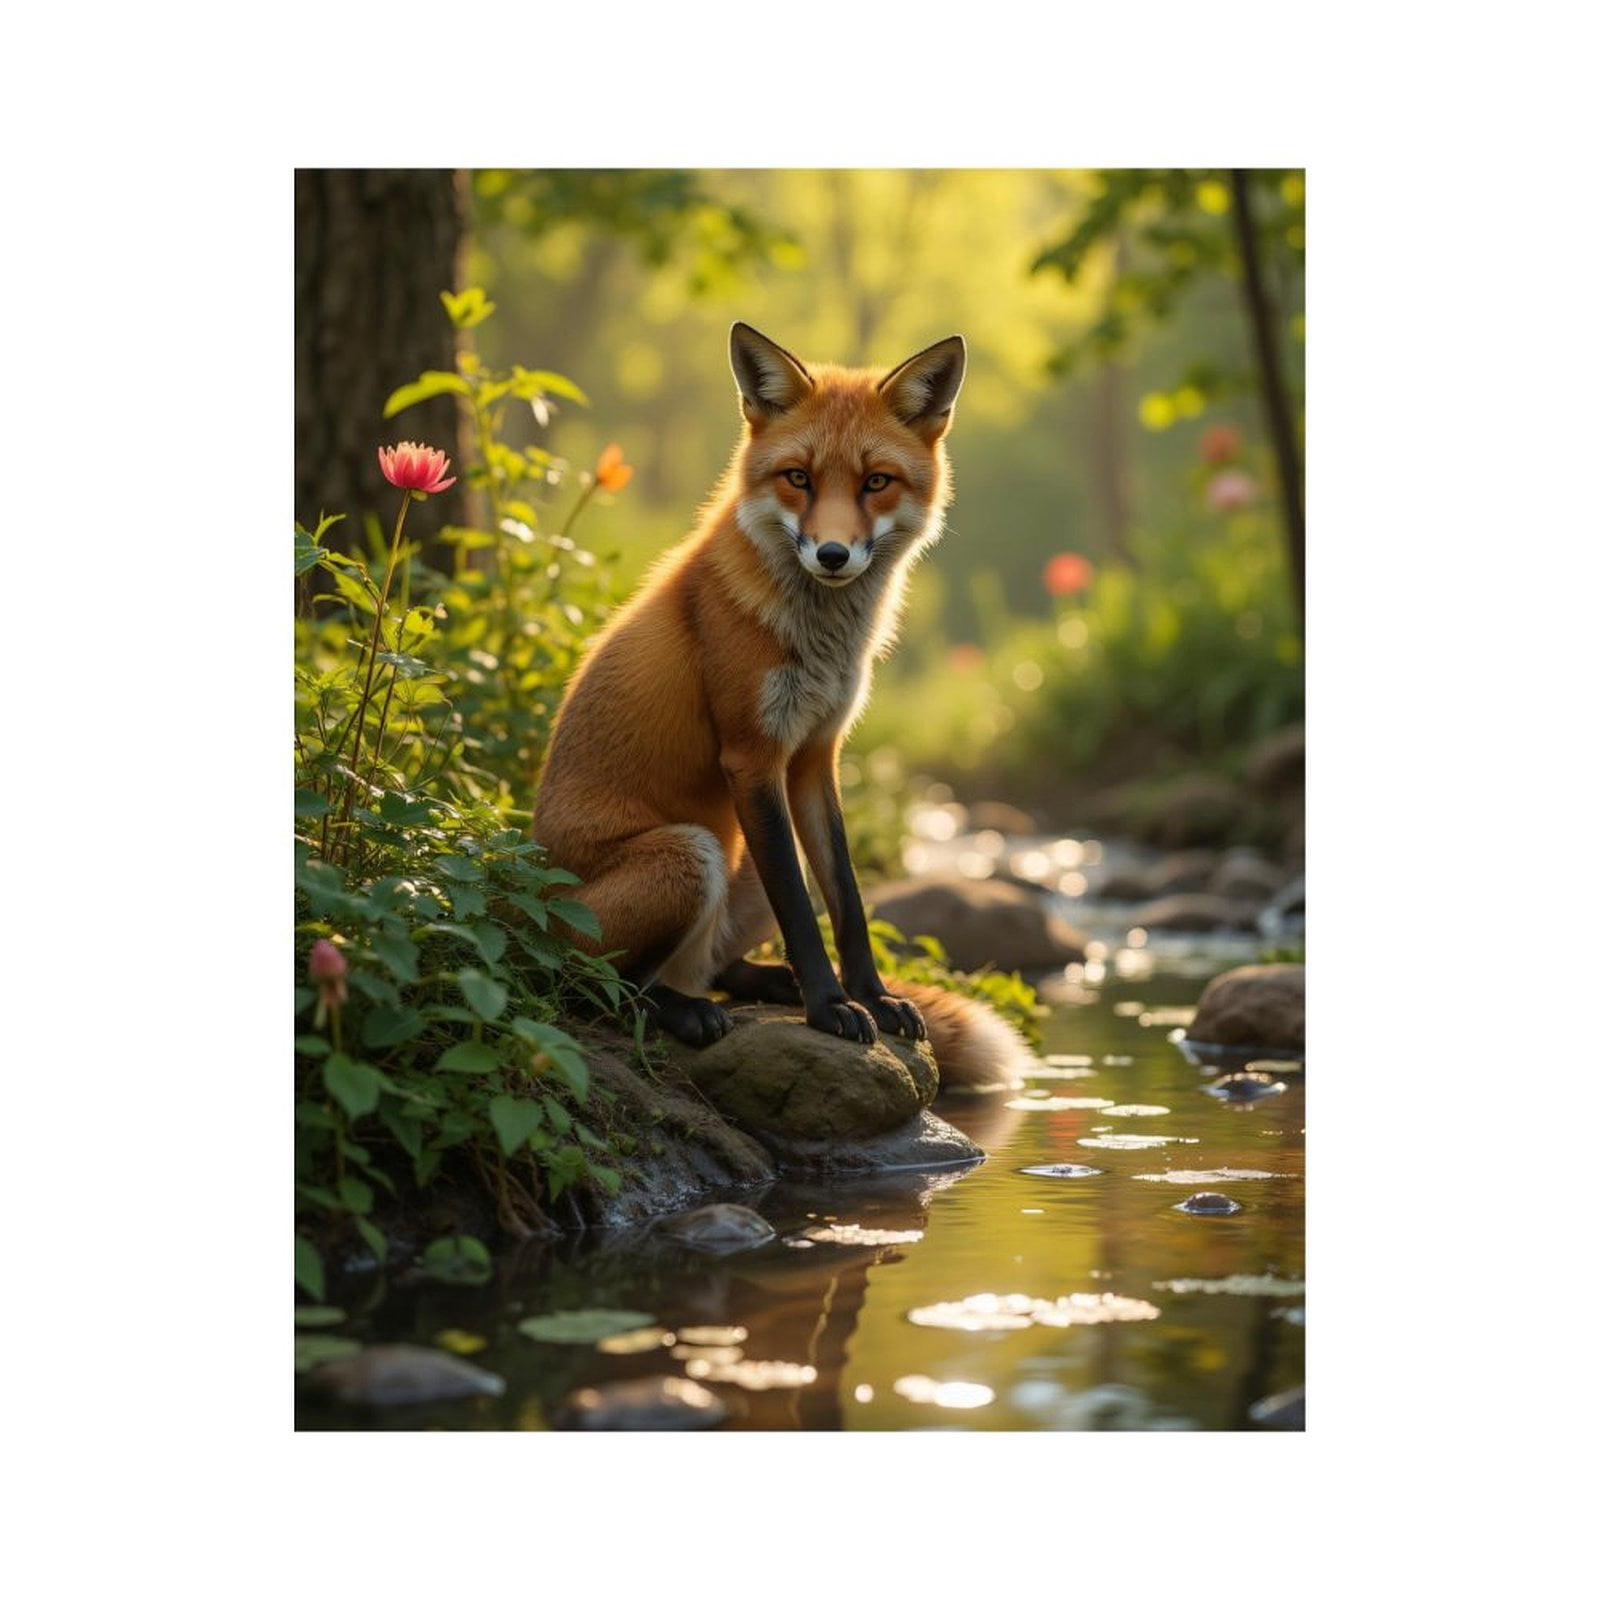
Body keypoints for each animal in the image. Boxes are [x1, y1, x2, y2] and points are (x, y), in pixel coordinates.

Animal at [531, 322, 1032, 1090]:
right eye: (798, 477)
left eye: (875, 482)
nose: (832, 554)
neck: (823, 641)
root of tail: (513, 896)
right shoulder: (752, 756)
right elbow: (803, 912)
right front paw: (830, 1008)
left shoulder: (815, 759)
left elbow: (846, 901)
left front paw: (872, 996)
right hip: (693, 852)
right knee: (588, 985)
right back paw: (683, 1012)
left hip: (742, 855)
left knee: (716, 968)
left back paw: (762, 984)